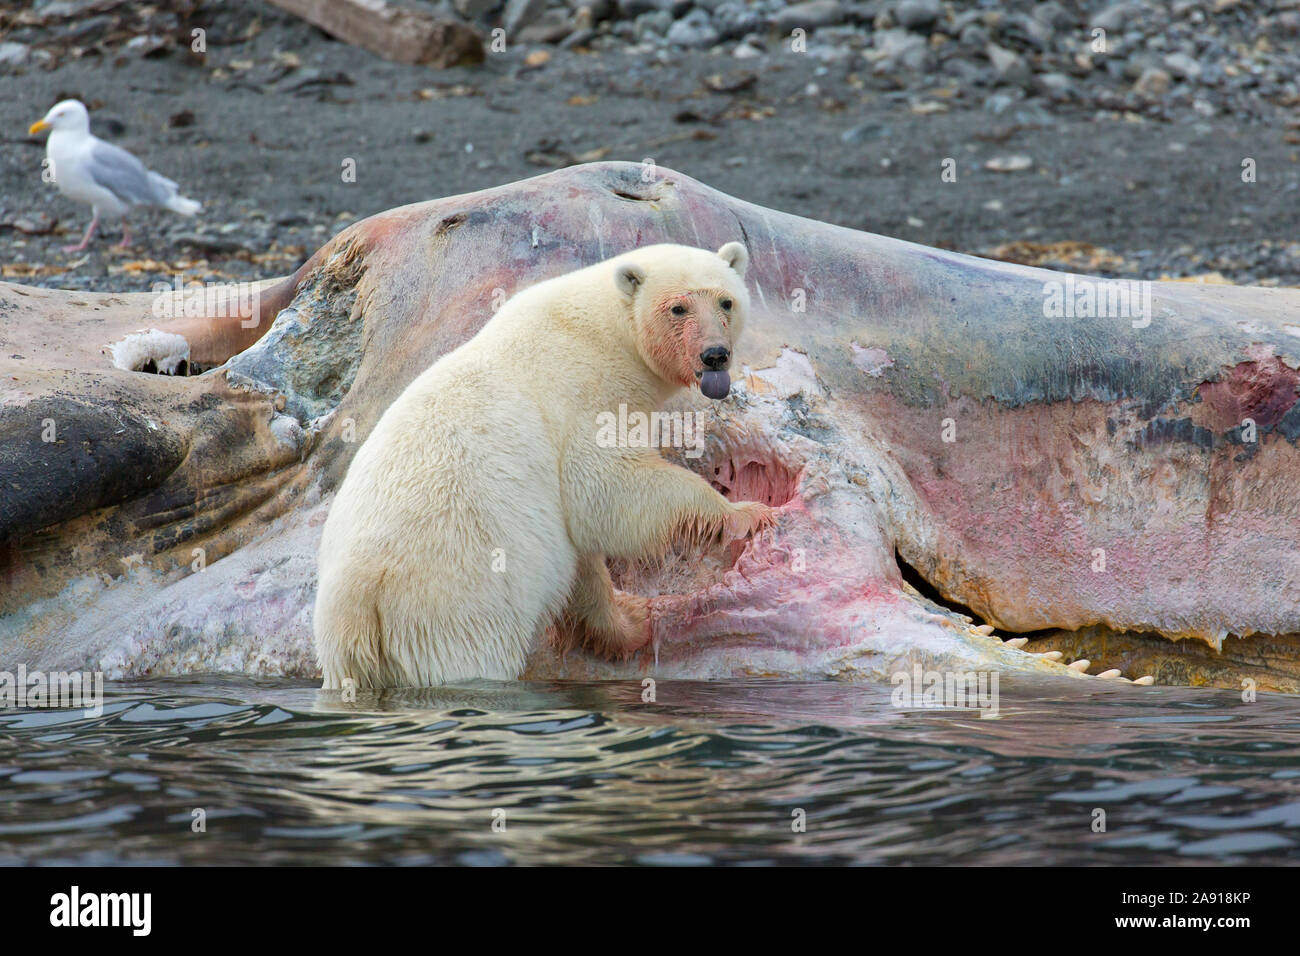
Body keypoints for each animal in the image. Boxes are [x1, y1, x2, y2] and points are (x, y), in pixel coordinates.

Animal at [313, 242, 776, 689]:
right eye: (678, 307)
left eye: (726, 301)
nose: (715, 355)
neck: (602, 333)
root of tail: (358, 608)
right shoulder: (585, 392)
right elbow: (605, 486)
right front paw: (746, 512)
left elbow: (582, 560)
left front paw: (627, 622)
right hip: (447, 607)